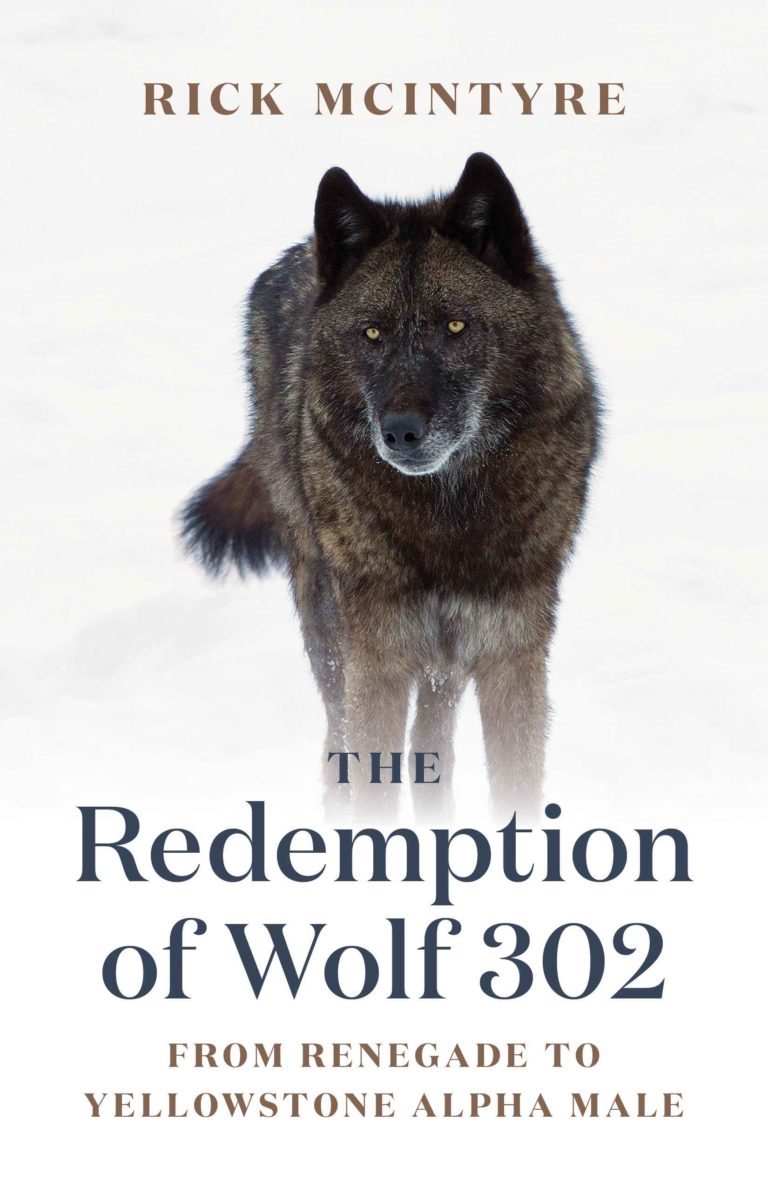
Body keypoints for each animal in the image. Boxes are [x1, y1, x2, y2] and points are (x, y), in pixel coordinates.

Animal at [181, 153, 600, 816]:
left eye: (455, 326)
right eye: (372, 334)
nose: (400, 431)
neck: (448, 518)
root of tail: (300, 251)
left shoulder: (511, 656)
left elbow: (514, 785)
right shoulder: (376, 661)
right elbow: (370, 777)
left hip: (443, 664)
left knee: (434, 743)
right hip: (329, 627)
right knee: (338, 742)